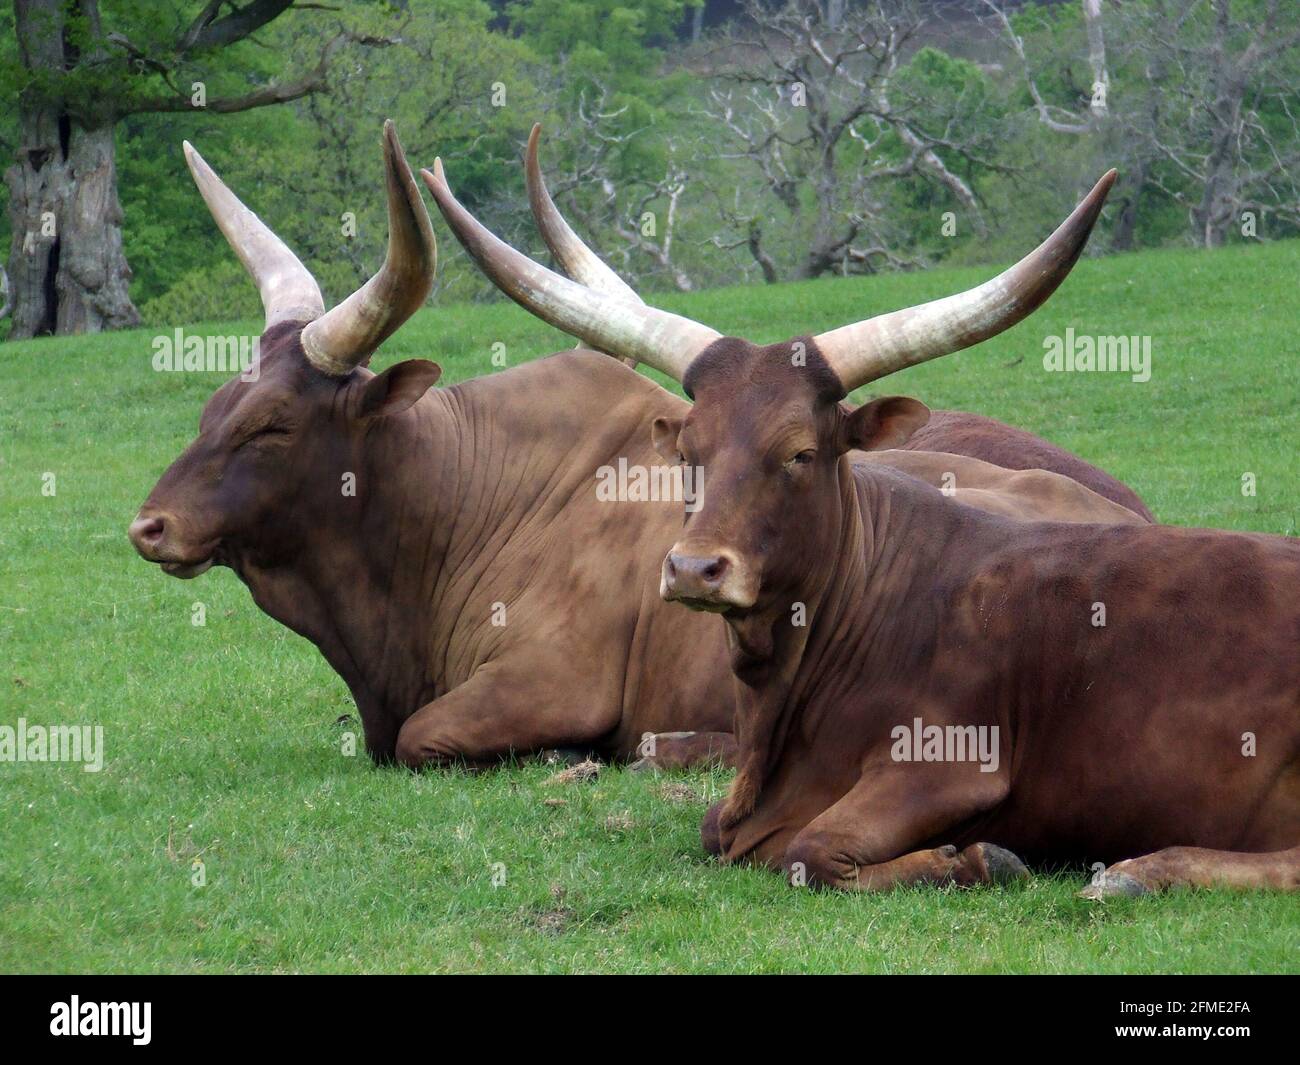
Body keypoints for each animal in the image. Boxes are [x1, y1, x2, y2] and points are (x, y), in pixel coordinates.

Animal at [427, 158, 1300, 896]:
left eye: (800, 452)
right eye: (689, 452)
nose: (693, 569)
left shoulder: (947, 762)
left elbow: (810, 849)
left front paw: (977, 857)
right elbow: (722, 830)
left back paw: (1138, 871)